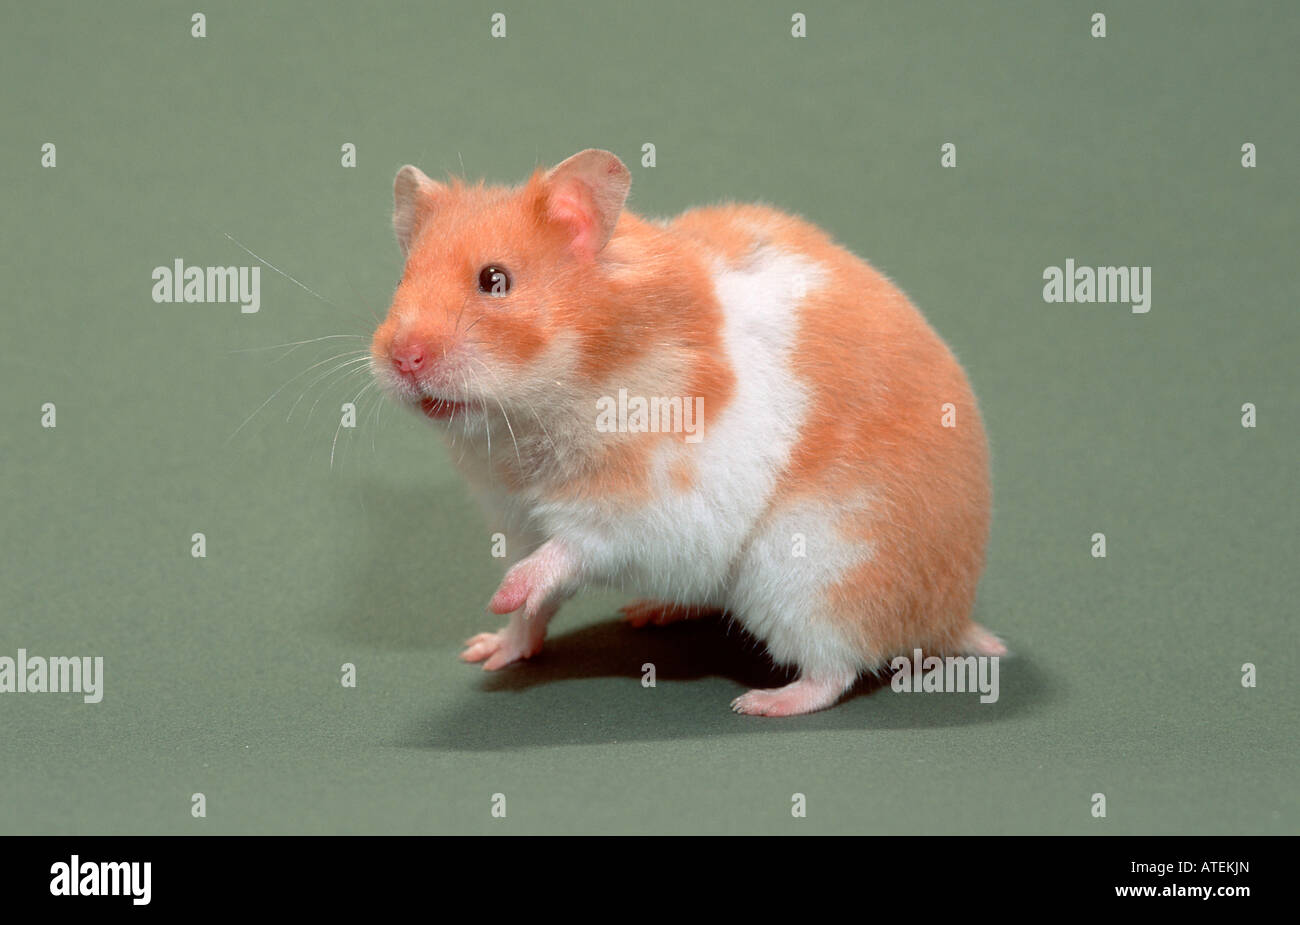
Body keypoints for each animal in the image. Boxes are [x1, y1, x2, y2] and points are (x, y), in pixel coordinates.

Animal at [370, 148, 1004, 716]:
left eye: (494, 280)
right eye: (401, 279)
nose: (402, 357)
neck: (531, 418)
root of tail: (952, 617)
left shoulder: (651, 508)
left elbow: (568, 552)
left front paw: (500, 596)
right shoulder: (519, 519)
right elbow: (537, 606)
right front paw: (486, 649)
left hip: (816, 583)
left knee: (836, 669)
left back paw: (762, 704)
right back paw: (647, 613)